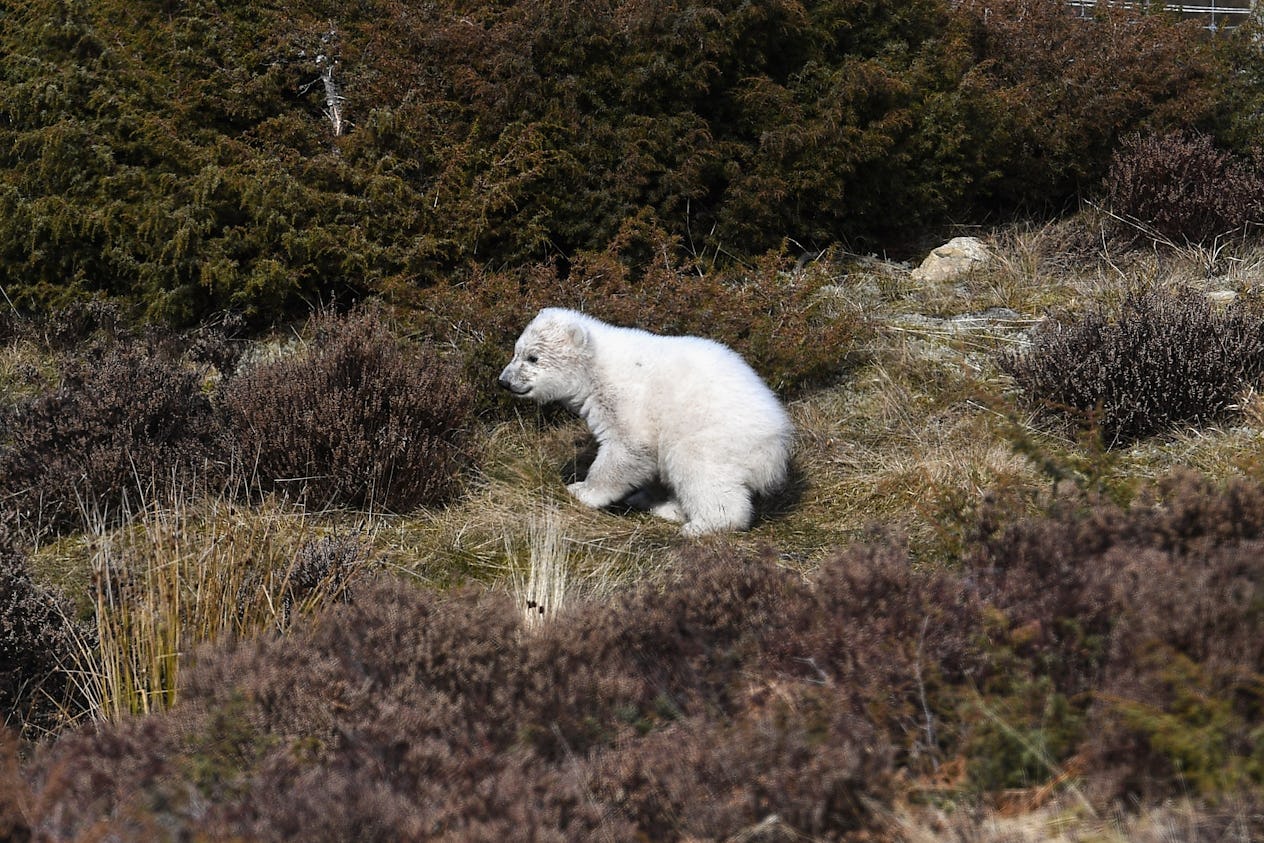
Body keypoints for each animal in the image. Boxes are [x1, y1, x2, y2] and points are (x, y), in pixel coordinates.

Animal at [498, 307, 794, 536]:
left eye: (533, 357)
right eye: (515, 351)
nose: (504, 381)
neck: (596, 366)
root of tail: (774, 451)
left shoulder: (627, 399)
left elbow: (628, 448)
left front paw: (582, 491)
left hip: (715, 437)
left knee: (699, 473)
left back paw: (700, 525)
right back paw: (664, 506)